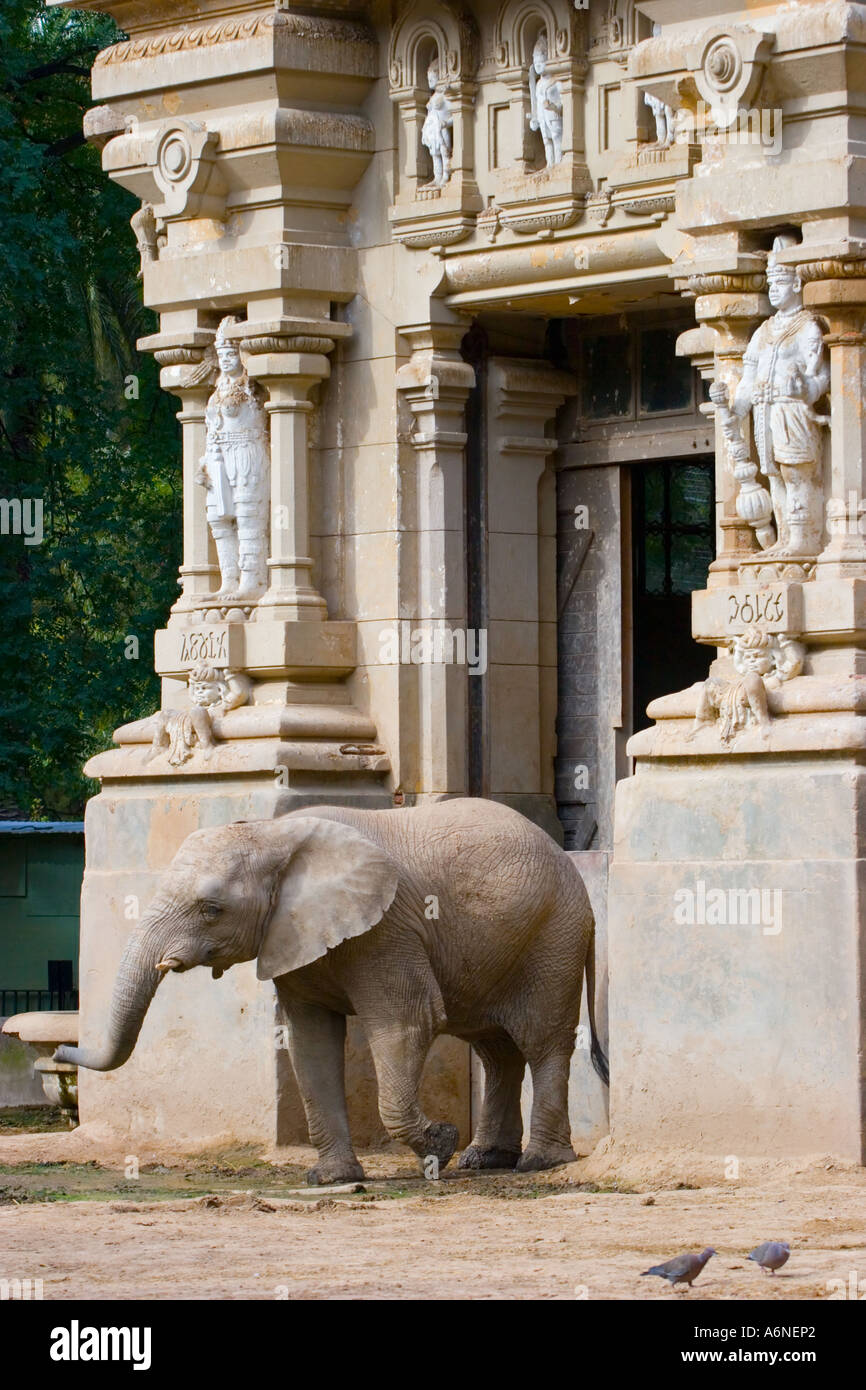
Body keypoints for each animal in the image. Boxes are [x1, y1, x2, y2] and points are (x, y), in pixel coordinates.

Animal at [57, 797, 607, 1182]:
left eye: (211, 909)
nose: (62, 1050)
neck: (274, 835)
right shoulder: (292, 936)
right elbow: (310, 1041)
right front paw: (330, 1178)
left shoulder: (388, 928)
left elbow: (407, 1024)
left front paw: (440, 1145)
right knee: (496, 1049)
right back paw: (485, 1159)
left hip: (553, 938)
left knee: (541, 1041)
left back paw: (539, 1163)